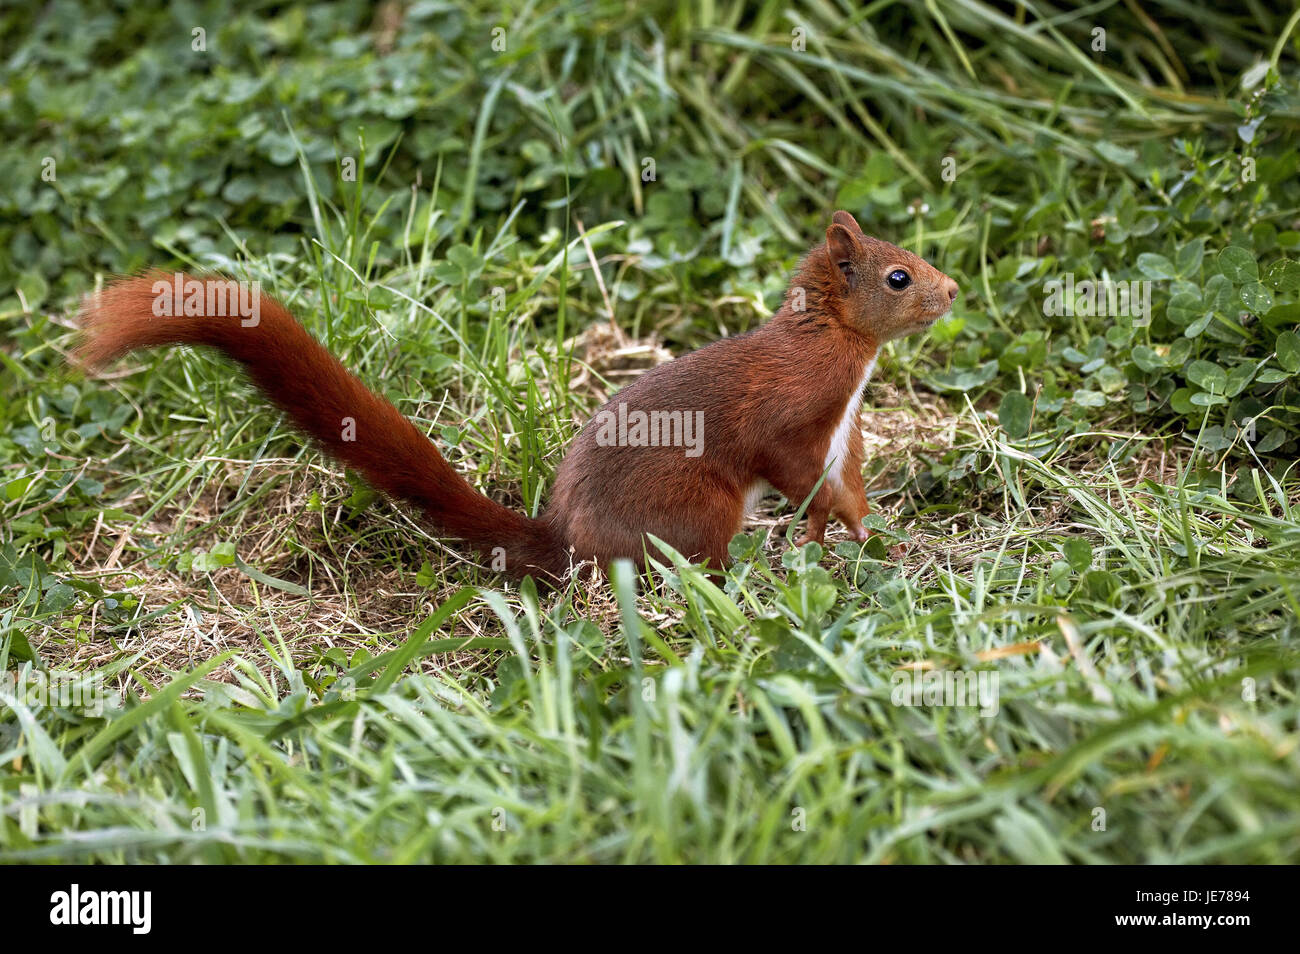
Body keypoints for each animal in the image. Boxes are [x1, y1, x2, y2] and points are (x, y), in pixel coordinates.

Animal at [75, 210, 958, 584]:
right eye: (898, 276)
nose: (952, 290)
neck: (838, 349)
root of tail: (565, 541)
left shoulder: (845, 433)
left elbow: (844, 491)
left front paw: (862, 538)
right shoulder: (786, 413)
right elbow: (793, 468)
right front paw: (829, 534)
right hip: (698, 506)